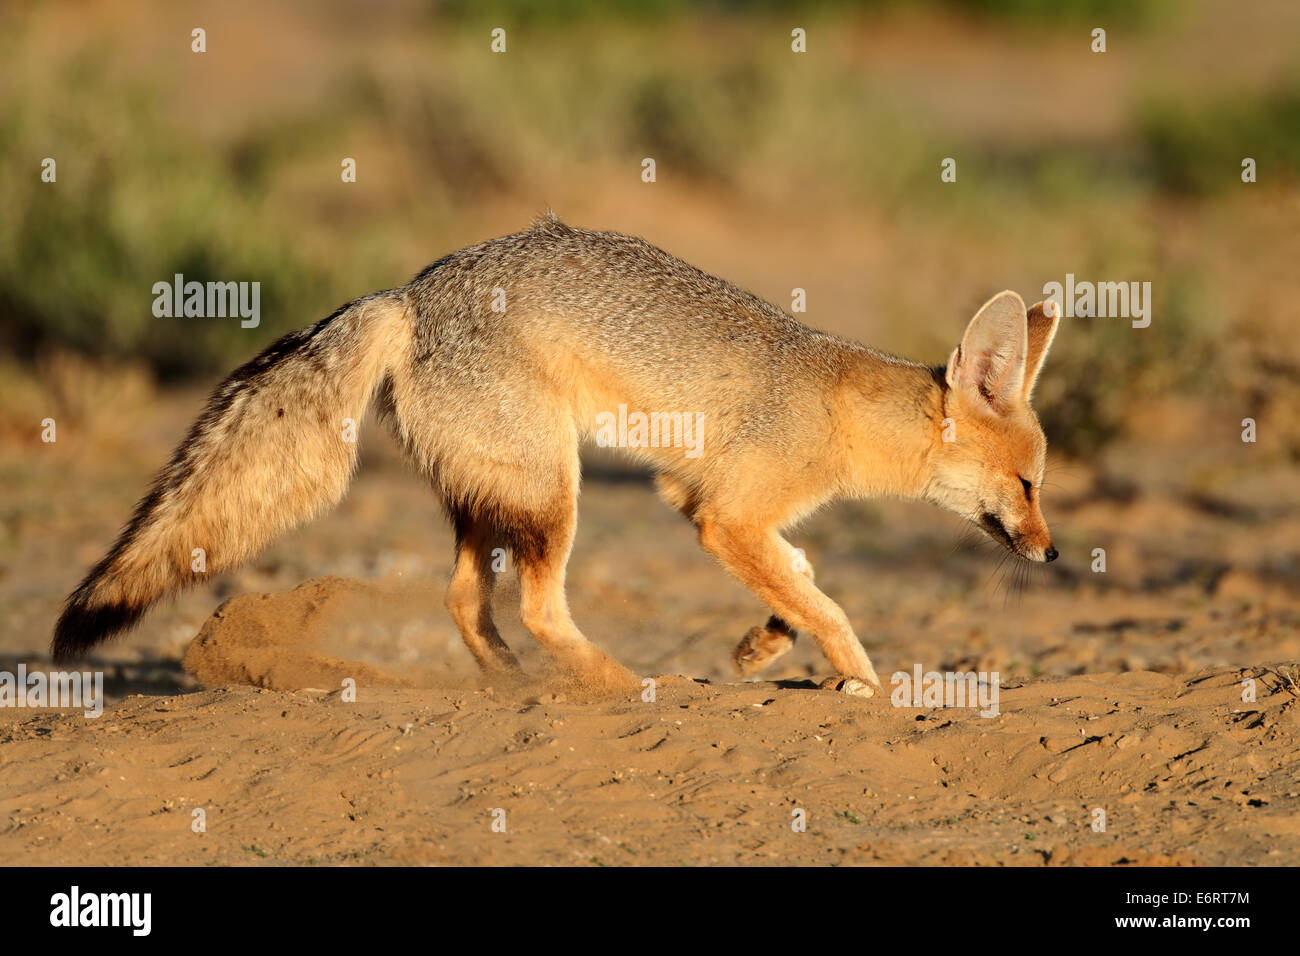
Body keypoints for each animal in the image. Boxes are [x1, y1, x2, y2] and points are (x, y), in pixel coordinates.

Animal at [52, 212, 1059, 697]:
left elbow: (802, 574)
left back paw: (515, 684)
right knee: (537, 609)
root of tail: (407, 293)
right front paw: (857, 675)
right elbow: (828, 597)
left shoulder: (702, 501)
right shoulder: (723, 515)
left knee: (463, 600)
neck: (843, 404)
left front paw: (764, 642)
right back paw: (620, 683)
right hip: (554, 495)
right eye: (1028, 484)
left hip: (495, 499)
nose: (1051, 553)